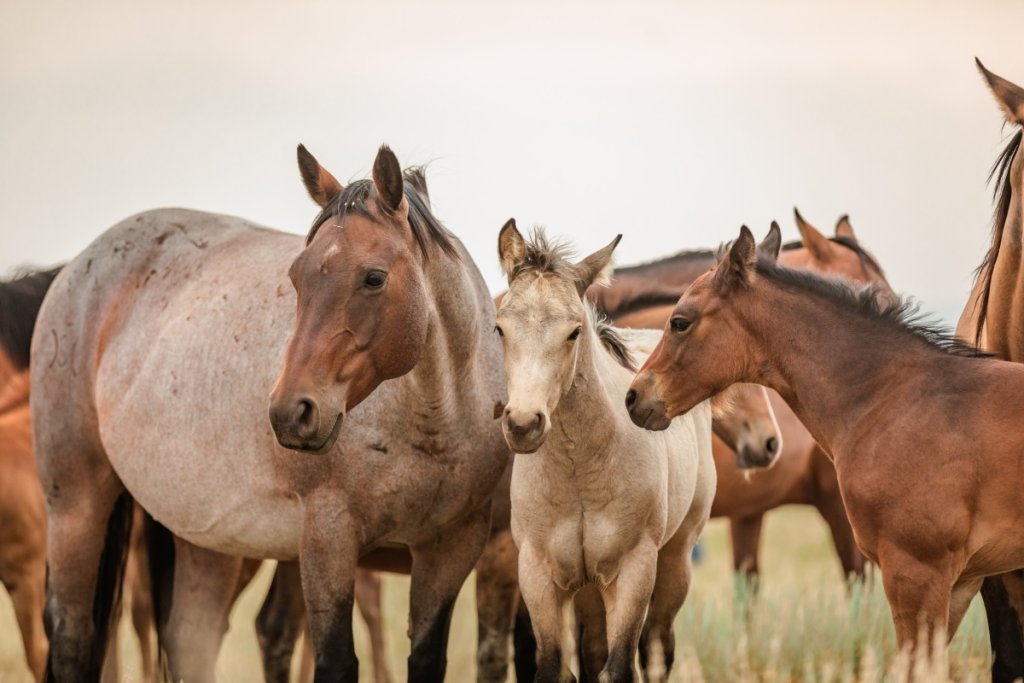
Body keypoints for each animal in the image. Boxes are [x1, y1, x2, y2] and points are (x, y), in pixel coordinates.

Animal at [32, 145, 510, 682]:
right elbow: (336, 661)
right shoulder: (328, 538)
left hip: (206, 540)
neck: (434, 423)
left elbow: (427, 659)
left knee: (189, 637)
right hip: (75, 506)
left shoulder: (451, 549)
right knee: (71, 633)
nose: (290, 412)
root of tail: (76, 268)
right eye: (296, 277)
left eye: (374, 277)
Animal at [496, 222, 715, 682]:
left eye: (573, 331)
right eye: (500, 328)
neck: (579, 469)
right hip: (588, 588)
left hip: (675, 560)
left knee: (657, 649)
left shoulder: (633, 571)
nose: (523, 424)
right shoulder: (539, 574)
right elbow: (554, 666)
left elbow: (619, 666)